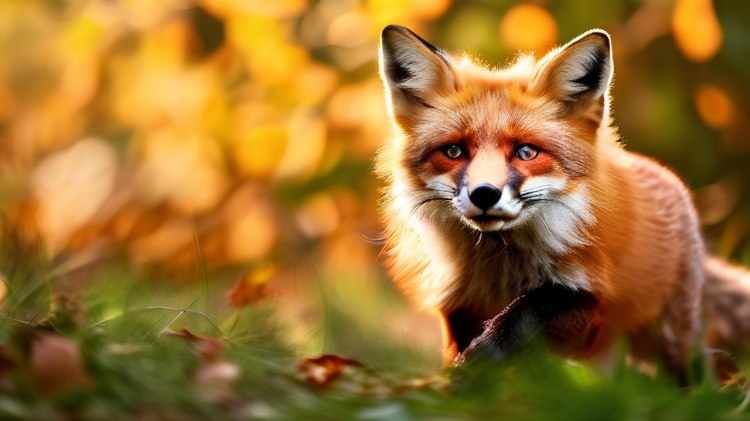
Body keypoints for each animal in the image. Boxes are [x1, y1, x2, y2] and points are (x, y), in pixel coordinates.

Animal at [375, 24, 750, 384]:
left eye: (527, 152)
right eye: (454, 151)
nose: (484, 194)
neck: (501, 269)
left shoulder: (590, 297)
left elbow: (528, 310)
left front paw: (483, 360)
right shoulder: (457, 307)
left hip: (669, 337)